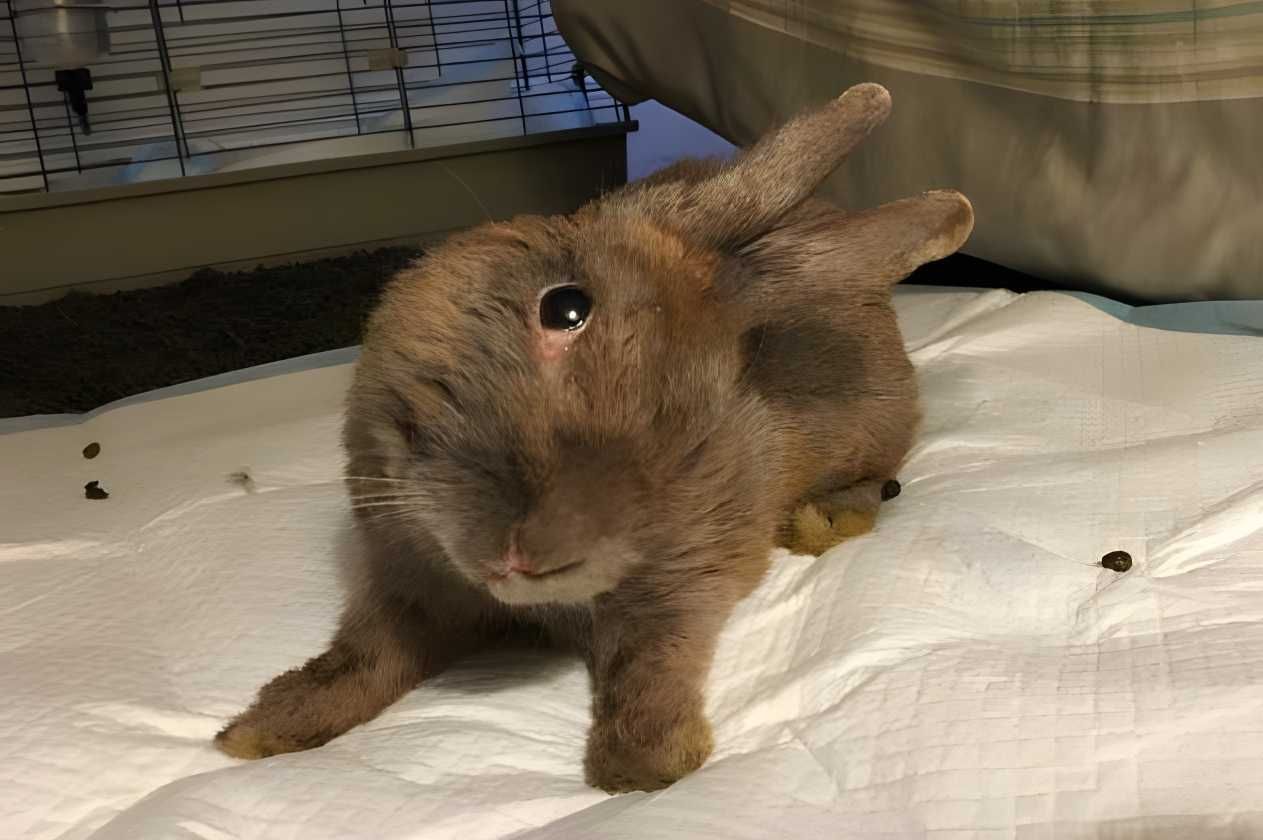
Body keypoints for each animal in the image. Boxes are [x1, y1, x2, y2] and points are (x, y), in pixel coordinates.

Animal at [214, 83, 974, 793]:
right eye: (565, 307)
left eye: (692, 439)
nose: (530, 551)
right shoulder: (408, 581)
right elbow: (367, 655)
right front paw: (258, 732)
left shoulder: (691, 572)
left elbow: (651, 657)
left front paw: (644, 765)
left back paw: (826, 519)